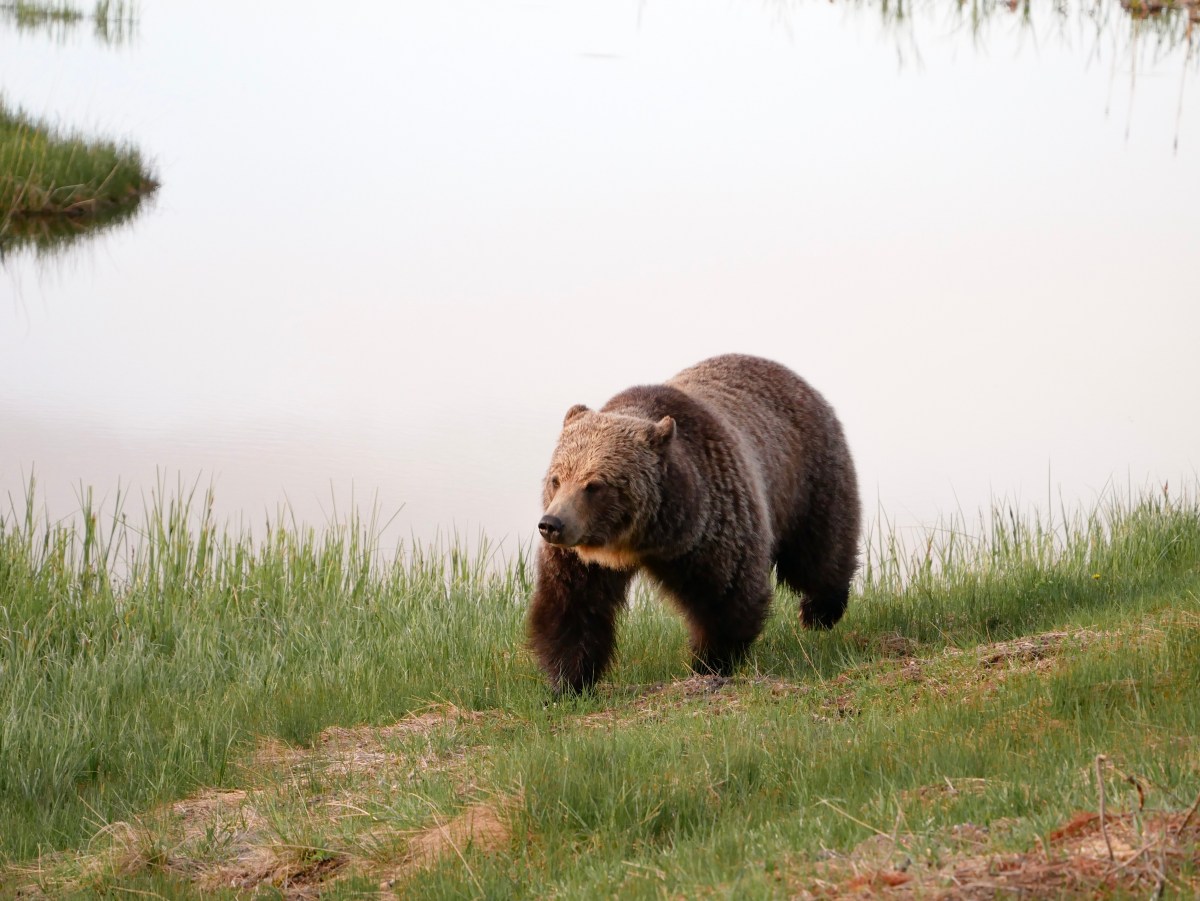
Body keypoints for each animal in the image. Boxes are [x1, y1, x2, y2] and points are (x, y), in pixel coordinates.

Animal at [527, 353, 861, 693]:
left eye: (593, 485)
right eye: (556, 478)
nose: (551, 524)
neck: (642, 539)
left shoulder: (711, 526)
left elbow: (726, 596)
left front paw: (710, 663)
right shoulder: (581, 558)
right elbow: (572, 607)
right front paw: (567, 682)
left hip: (806, 479)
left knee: (818, 551)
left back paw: (820, 610)